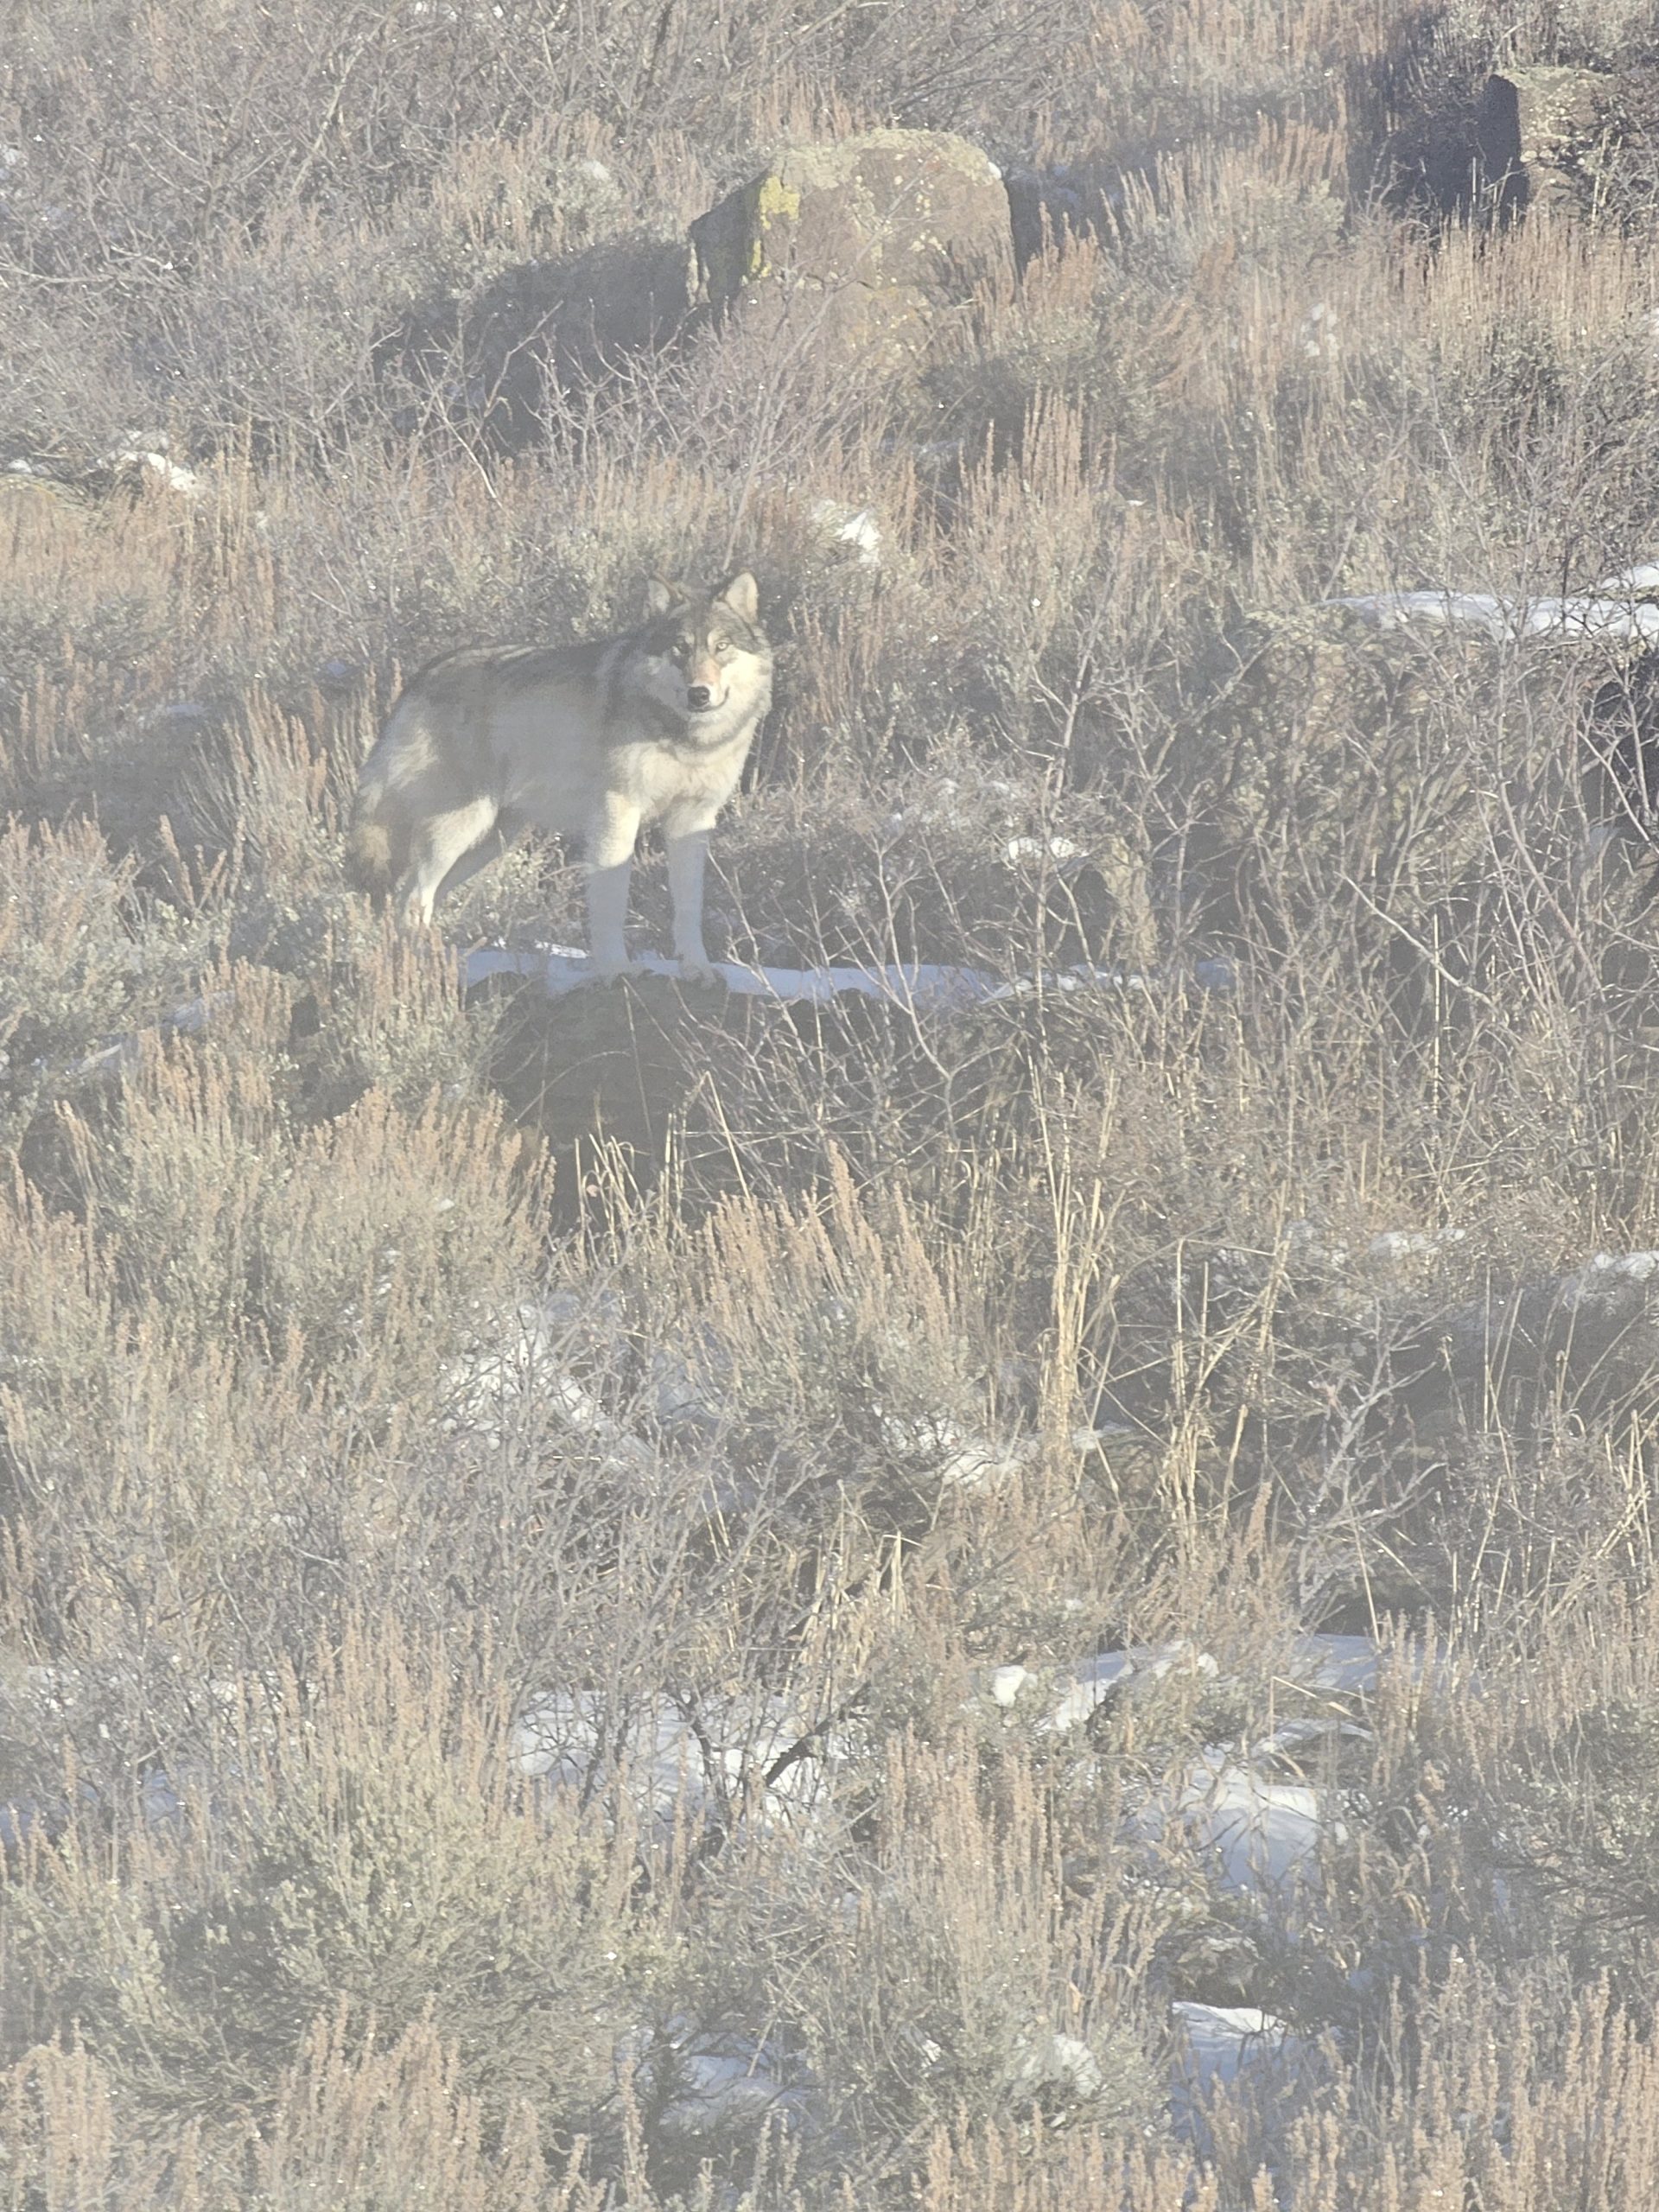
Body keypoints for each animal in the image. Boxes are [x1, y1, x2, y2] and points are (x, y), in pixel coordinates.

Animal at [346, 572, 772, 980]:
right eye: (680, 648)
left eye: (721, 647)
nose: (699, 693)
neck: (686, 738)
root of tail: (422, 675)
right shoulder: (618, 811)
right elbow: (612, 898)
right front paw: (616, 969)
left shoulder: (693, 820)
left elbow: (688, 906)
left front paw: (697, 969)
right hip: (459, 829)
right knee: (413, 898)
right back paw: (423, 967)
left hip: (488, 842)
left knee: (412, 899)